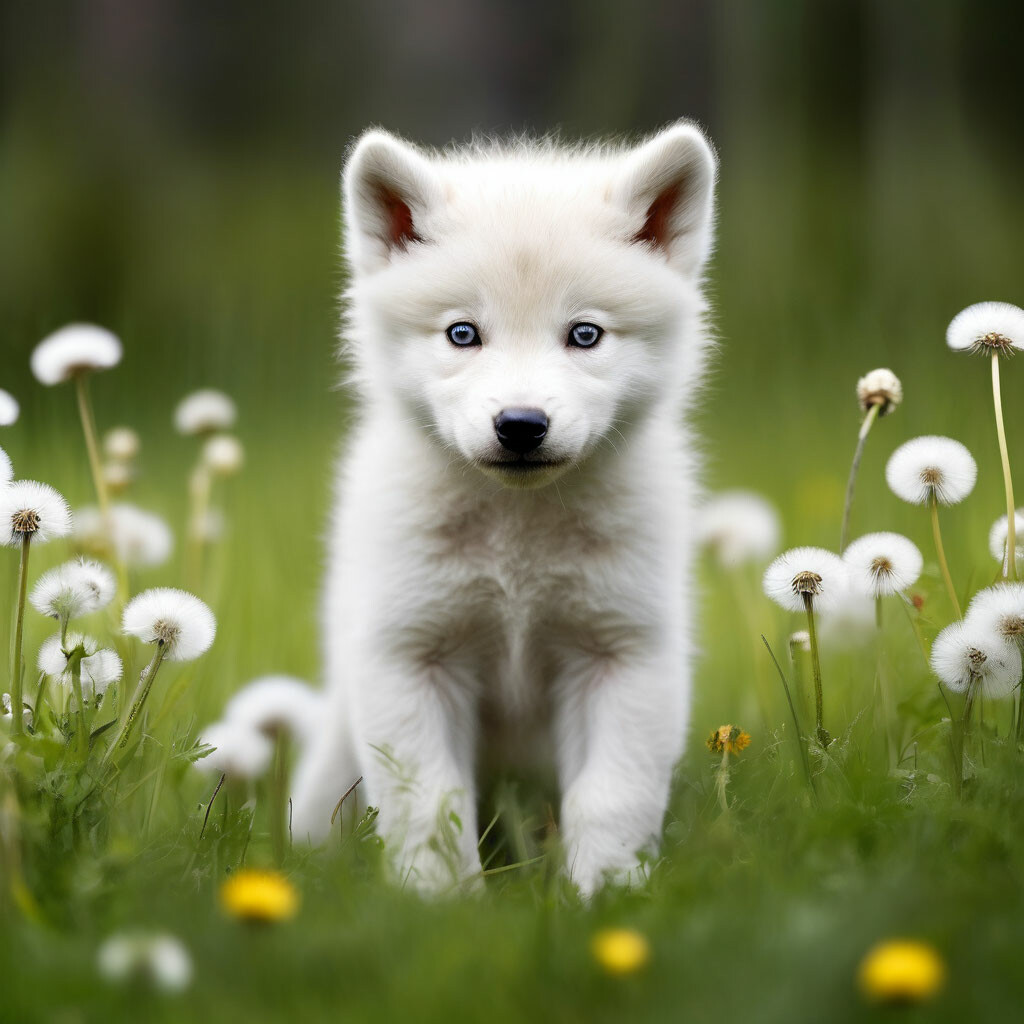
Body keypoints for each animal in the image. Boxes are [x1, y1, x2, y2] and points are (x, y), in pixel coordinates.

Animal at [291, 122, 718, 896]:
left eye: (585, 334)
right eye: (463, 334)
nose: (521, 425)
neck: (517, 537)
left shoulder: (625, 654)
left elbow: (610, 798)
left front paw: (604, 897)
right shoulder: (409, 658)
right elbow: (431, 805)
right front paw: (442, 904)